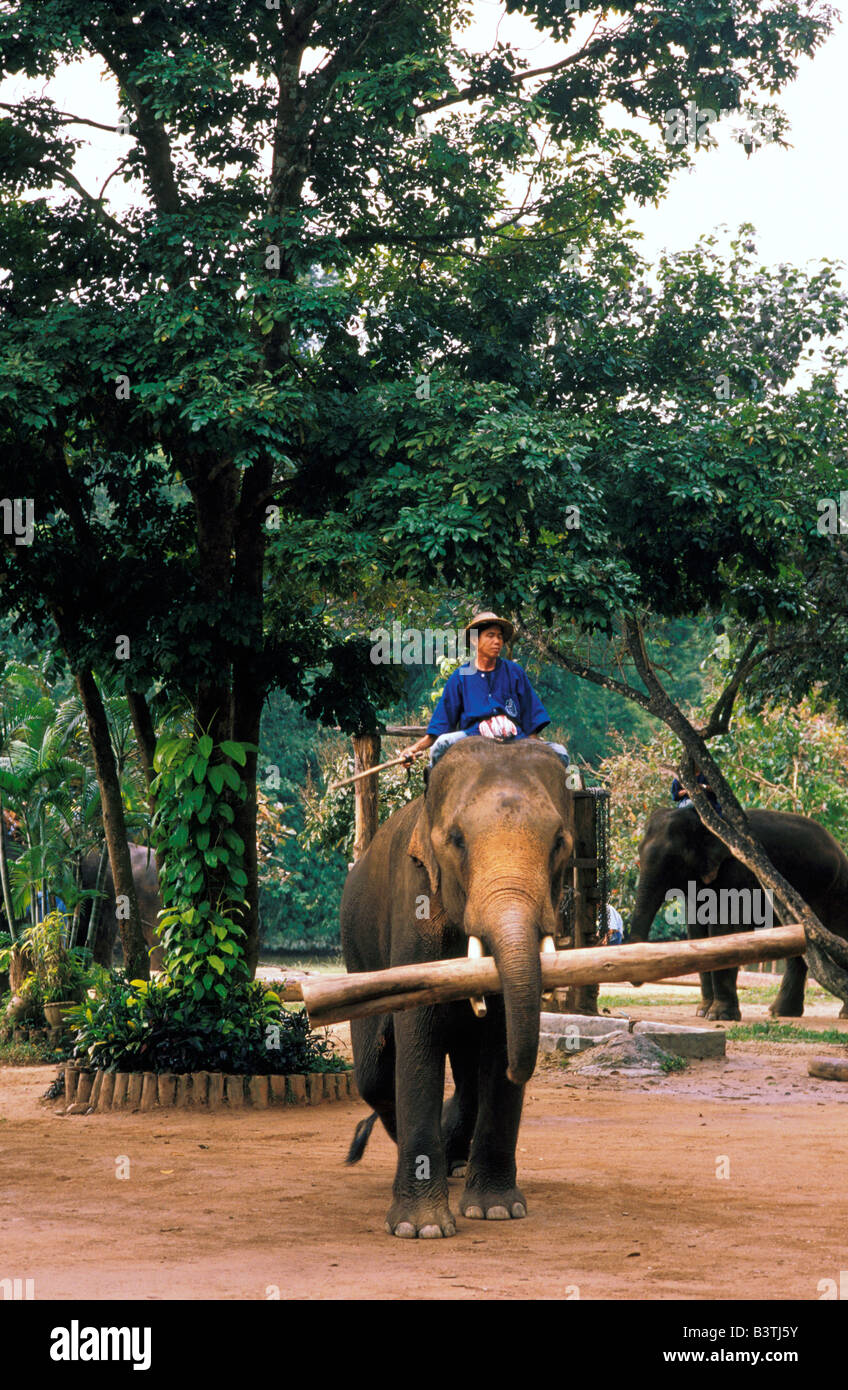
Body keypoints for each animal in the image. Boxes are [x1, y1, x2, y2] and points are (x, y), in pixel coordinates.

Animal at [341, 737, 573, 1239]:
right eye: (457, 841)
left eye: (560, 844)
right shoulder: (415, 901)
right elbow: (417, 1028)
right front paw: (420, 1229)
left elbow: (501, 1030)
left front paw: (497, 1211)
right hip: (357, 949)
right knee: (375, 1072)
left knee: (465, 1071)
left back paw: (456, 1161)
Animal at [629, 805, 848, 1020]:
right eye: (638, 851)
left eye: (675, 861)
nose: (637, 981)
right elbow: (698, 932)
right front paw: (702, 1012)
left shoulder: (735, 873)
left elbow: (724, 930)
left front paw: (719, 1016)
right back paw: (780, 1012)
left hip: (835, 892)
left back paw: (842, 1014)